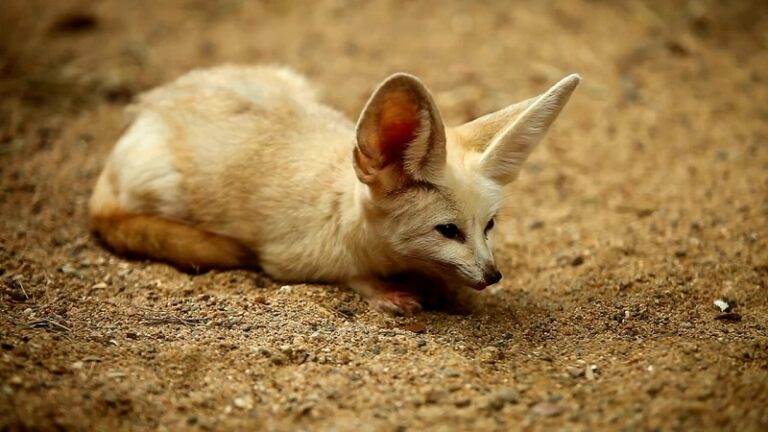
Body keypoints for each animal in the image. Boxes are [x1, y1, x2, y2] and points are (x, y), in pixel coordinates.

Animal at [89, 65, 580, 315]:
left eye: (490, 225)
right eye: (447, 230)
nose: (494, 275)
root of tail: (143, 113)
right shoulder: (289, 259)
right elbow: (349, 275)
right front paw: (387, 292)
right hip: (165, 188)